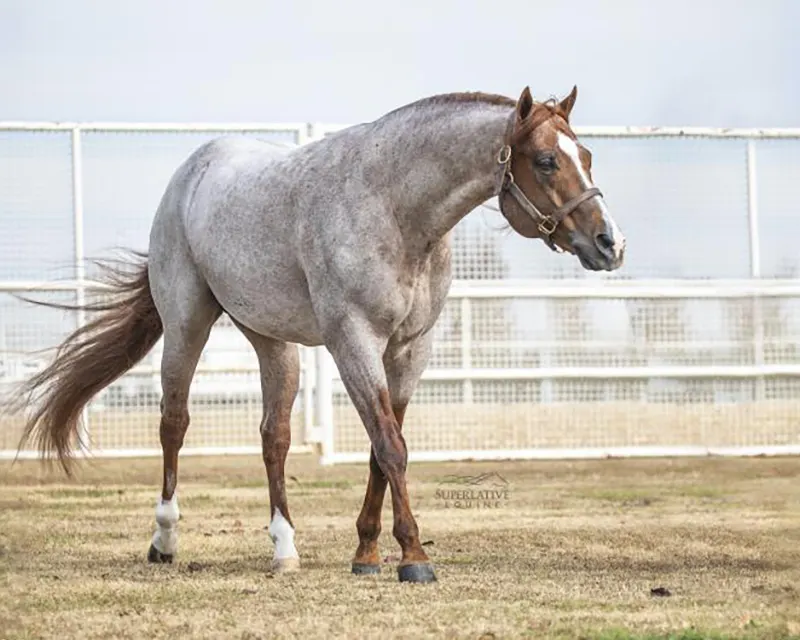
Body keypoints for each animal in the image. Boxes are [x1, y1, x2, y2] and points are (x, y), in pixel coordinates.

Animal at [11, 85, 626, 583]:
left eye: (588, 156)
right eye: (545, 160)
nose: (610, 243)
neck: (394, 208)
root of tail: (194, 169)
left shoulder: (411, 349)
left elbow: (381, 448)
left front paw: (368, 554)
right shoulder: (353, 339)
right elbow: (391, 447)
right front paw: (413, 558)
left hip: (273, 344)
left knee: (274, 438)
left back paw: (284, 548)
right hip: (187, 322)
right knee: (174, 423)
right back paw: (165, 540)